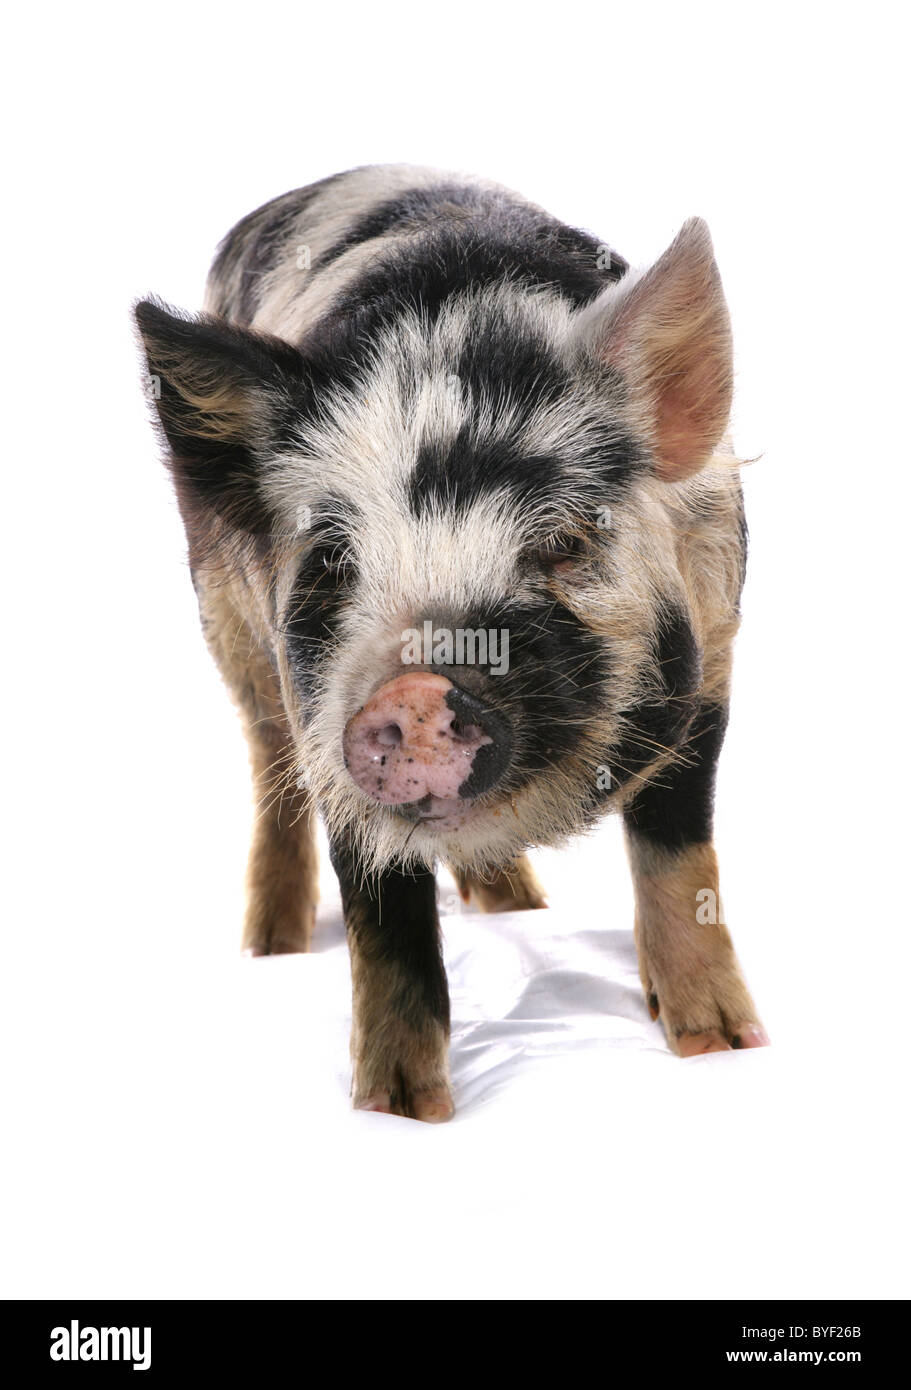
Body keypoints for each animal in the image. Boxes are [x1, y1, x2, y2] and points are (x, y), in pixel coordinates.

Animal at [135, 164, 768, 1123]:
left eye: (562, 541)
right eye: (335, 560)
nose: (414, 691)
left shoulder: (710, 667)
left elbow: (677, 857)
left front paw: (724, 1047)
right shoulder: (326, 731)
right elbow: (384, 922)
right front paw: (400, 1114)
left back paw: (516, 912)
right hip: (231, 633)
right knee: (267, 767)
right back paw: (271, 948)